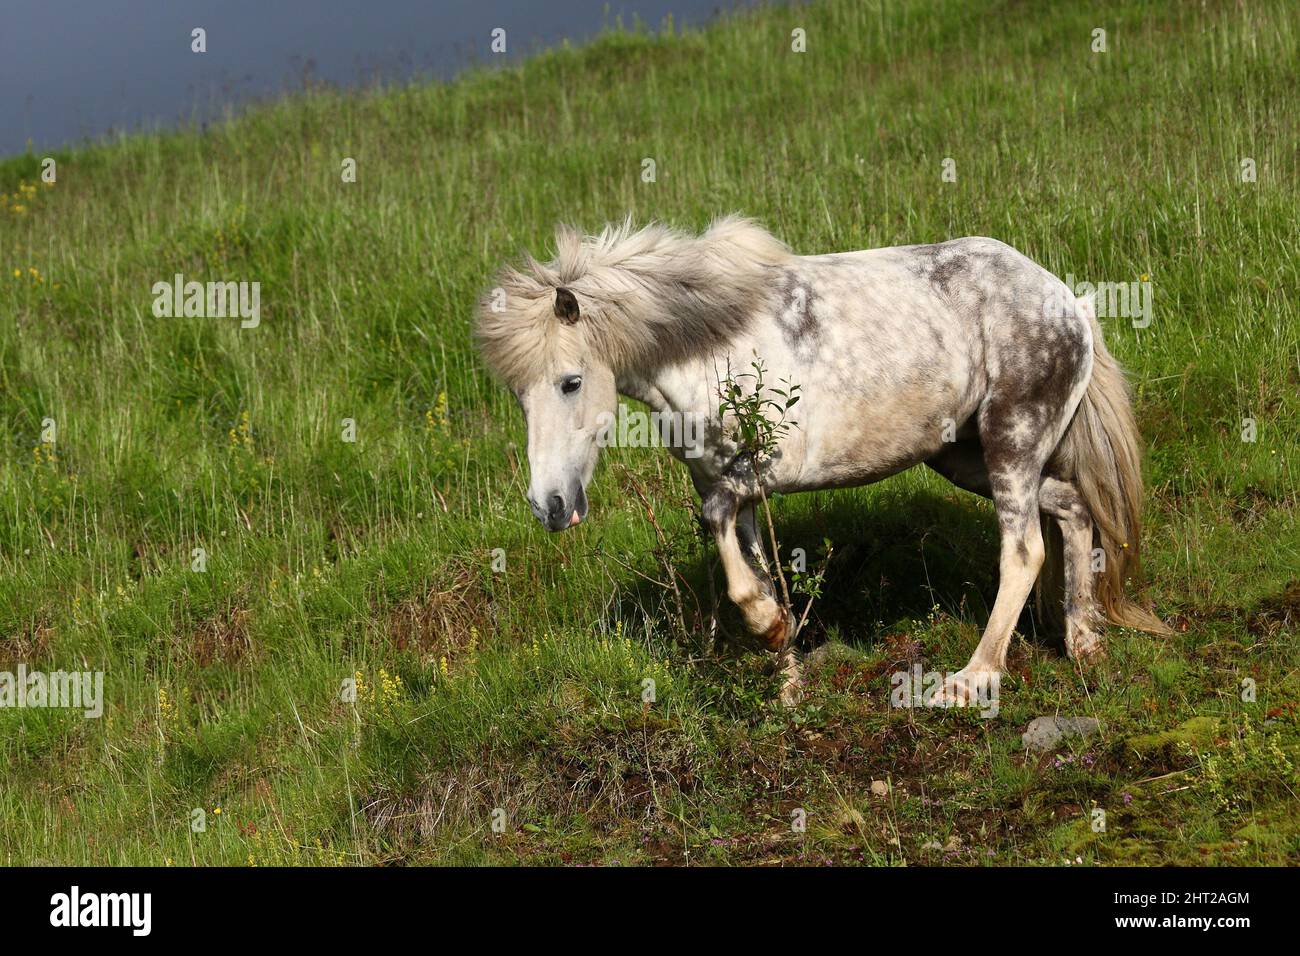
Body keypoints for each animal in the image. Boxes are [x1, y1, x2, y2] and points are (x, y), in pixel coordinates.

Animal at [475, 216, 1170, 705]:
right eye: (518, 395)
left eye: (570, 382)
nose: (550, 506)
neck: (711, 348)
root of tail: (1068, 302)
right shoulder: (735, 490)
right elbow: (751, 563)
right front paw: (785, 678)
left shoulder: (765, 470)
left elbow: (720, 524)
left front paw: (773, 630)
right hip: (966, 458)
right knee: (1074, 509)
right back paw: (1083, 643)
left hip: (1011, 443)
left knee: (1024, 550)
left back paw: (971, 680)